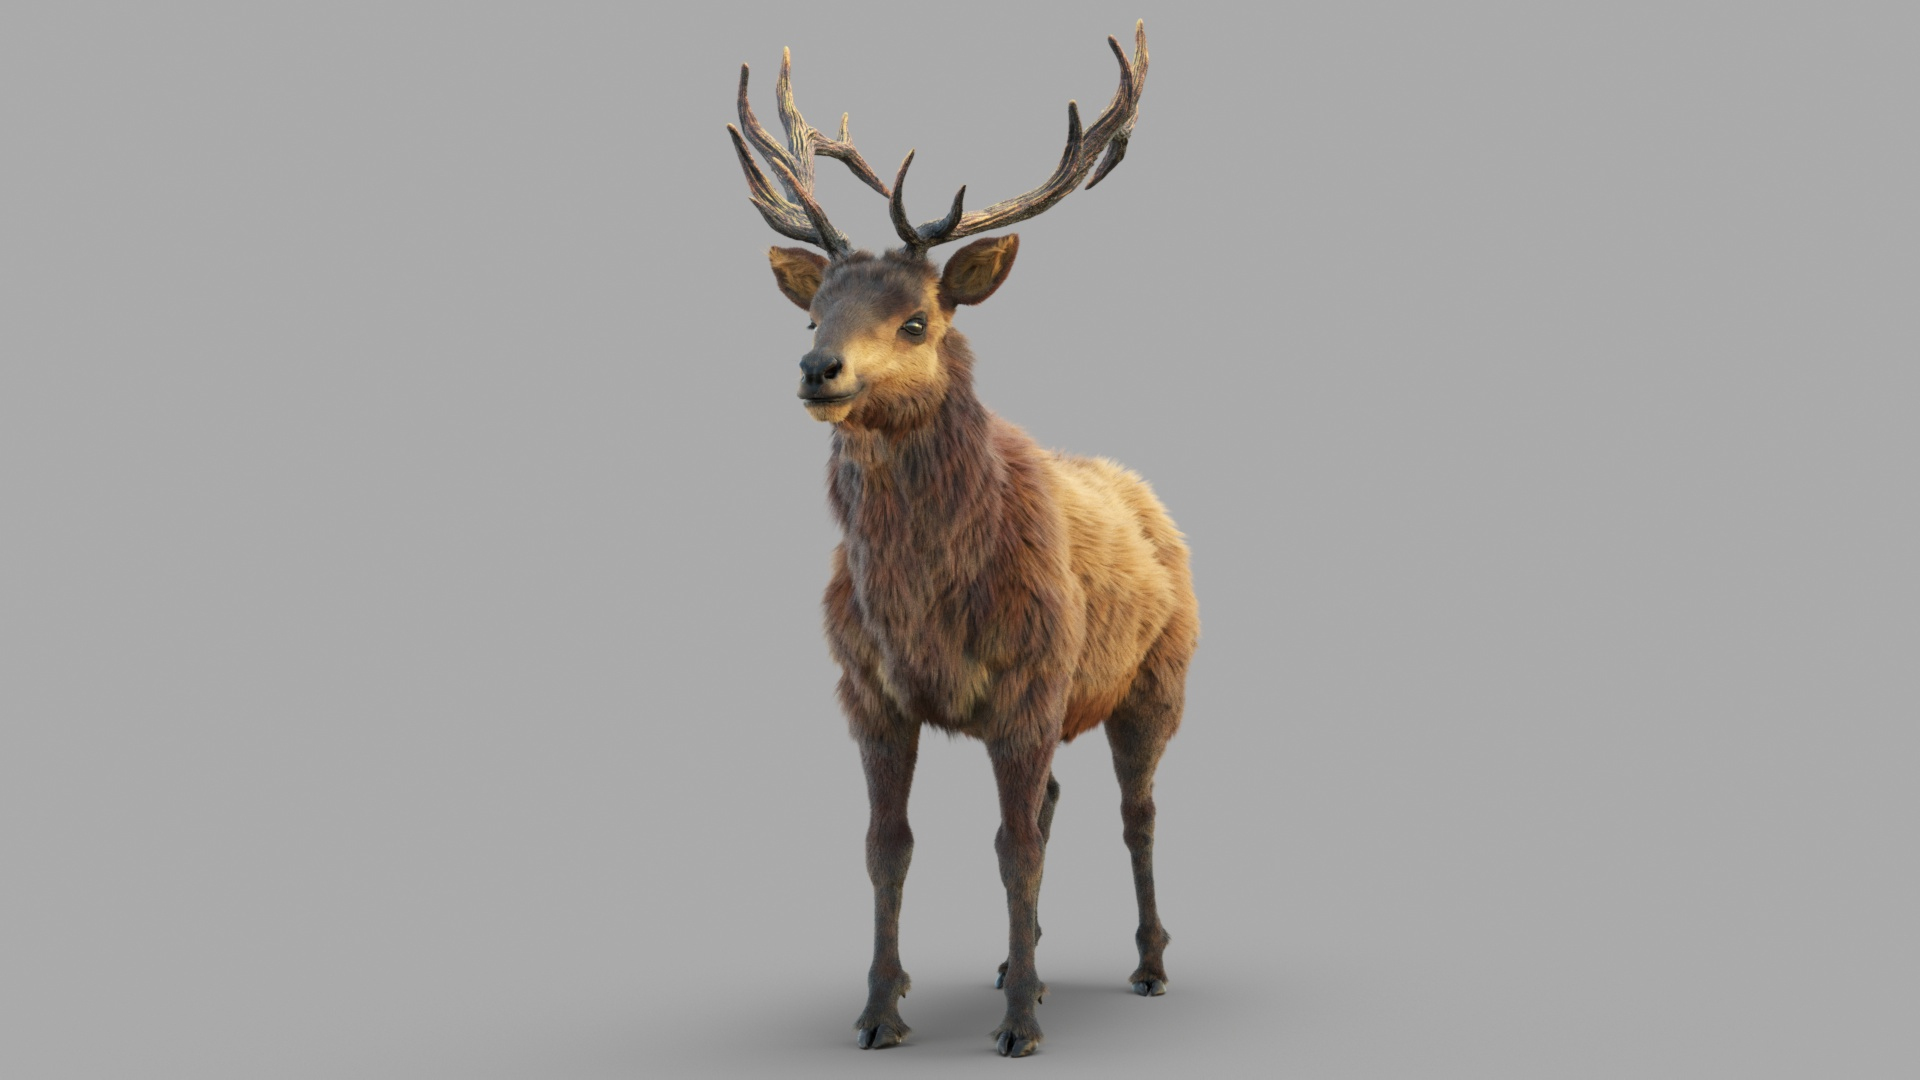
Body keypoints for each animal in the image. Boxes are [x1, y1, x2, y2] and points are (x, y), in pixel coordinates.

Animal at [725, 21, 1196, 1058]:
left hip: (1158, 680)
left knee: (1136, 811)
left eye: (917, 320)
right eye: (814, 310)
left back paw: (1147, 966)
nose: (819, 369)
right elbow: (886, 847)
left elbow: (1012, 848)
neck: (924, 608)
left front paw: (1018, 1030)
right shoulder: (866, 693)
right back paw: (1021, 968)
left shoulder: (1032, 681)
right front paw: (879, 1010)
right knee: (1057, 805)